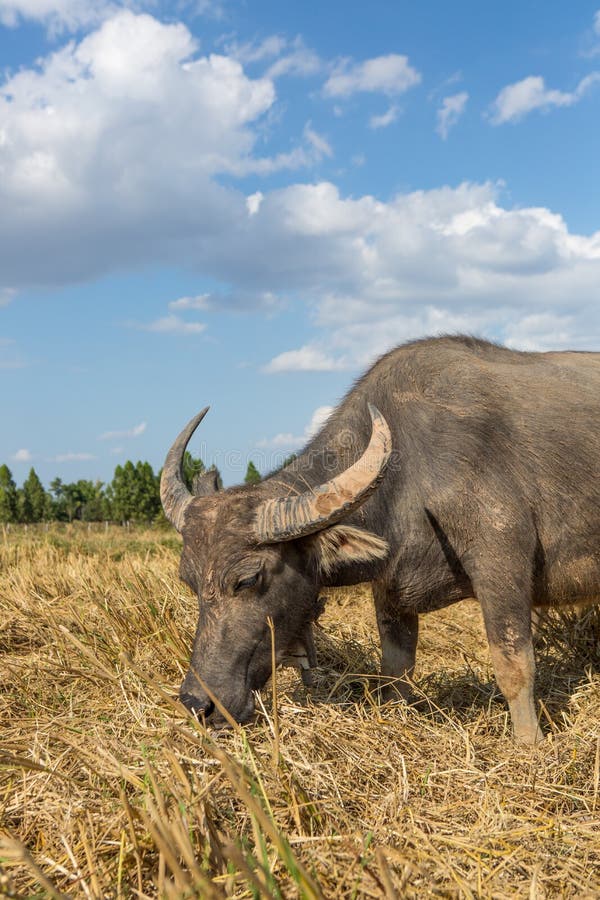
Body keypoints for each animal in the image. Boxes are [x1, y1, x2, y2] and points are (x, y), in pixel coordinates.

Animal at [161, 335, 600, 744]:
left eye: (248, 580)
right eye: (189, 581)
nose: (199, 704)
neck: (410, 472)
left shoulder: (501, 561)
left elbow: (513, 664)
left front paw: (529, 742)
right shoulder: (391, 587)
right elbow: (395, 670)